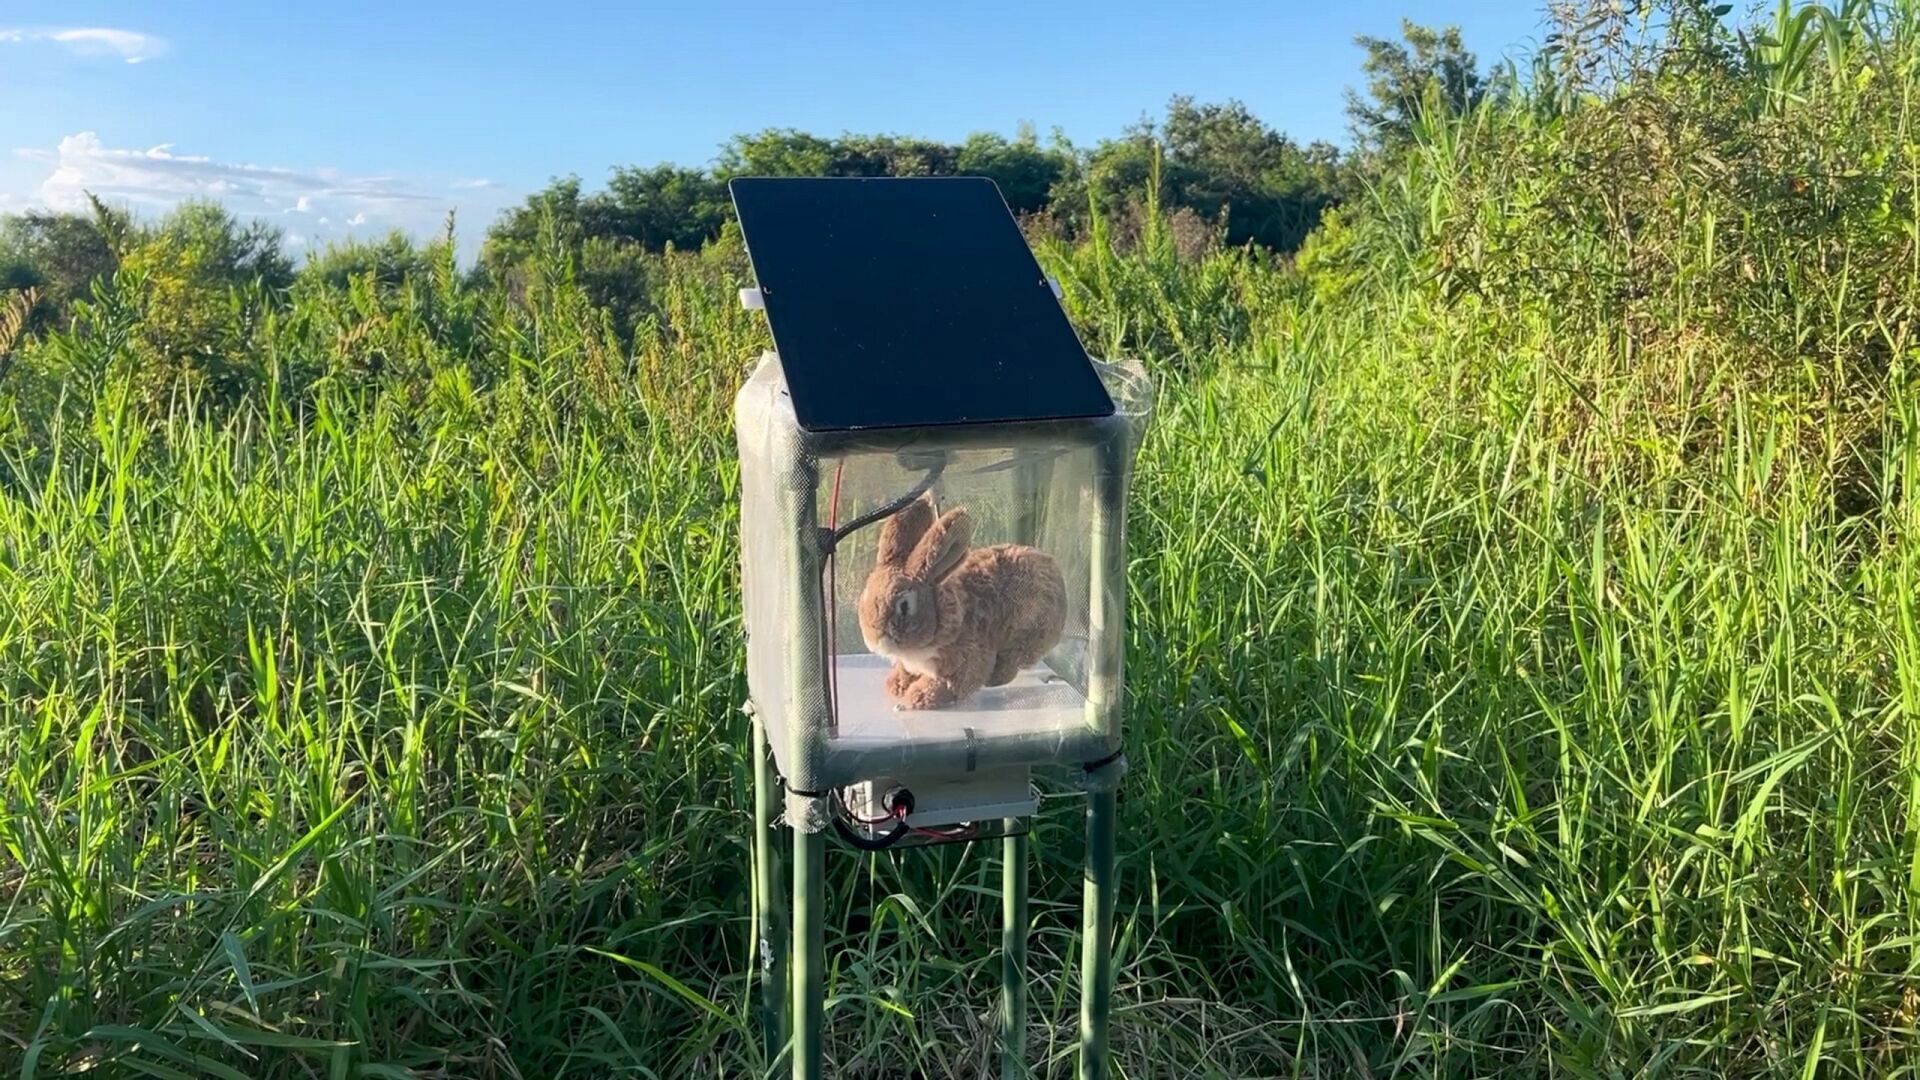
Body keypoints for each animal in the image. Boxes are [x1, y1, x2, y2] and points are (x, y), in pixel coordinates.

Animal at [858, 491, 1067, 710]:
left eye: (905, 606)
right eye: (865, 594)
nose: (874, 641)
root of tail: (1052, 566)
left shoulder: (965, 660)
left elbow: (949, 684)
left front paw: (917, 697)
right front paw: (896, 685)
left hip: (1028, 634)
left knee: (1013, 660)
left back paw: (995, 678)